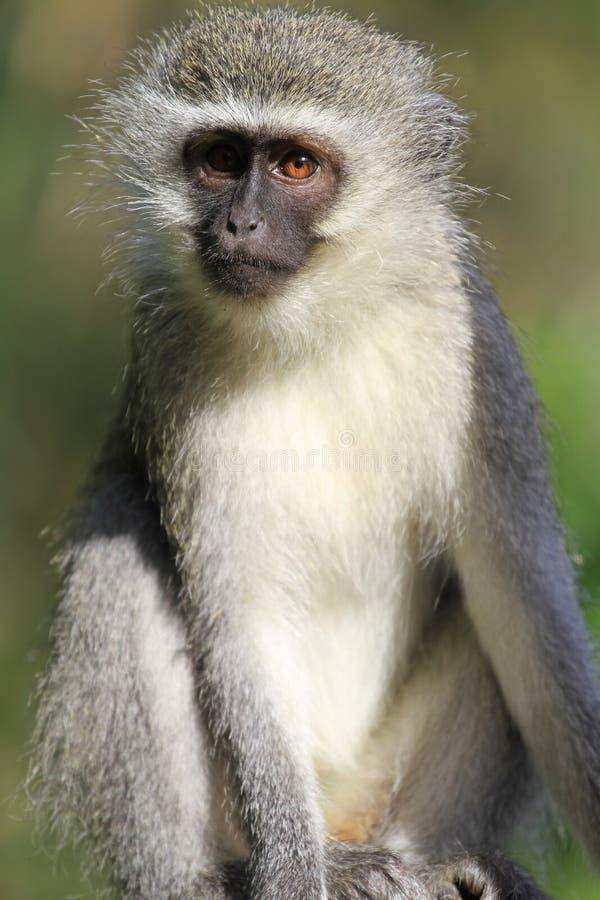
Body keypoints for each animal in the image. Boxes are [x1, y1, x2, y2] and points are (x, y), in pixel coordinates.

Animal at [30, 6, 600, 900]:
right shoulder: (170, 354)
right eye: (219, 159)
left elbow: (528, 606)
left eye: (297, 165)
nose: (239, 223)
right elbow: (240, 618)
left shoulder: (475, 355)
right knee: (120, 543)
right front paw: (296, 875)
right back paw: (220, 874)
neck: (316, 327)